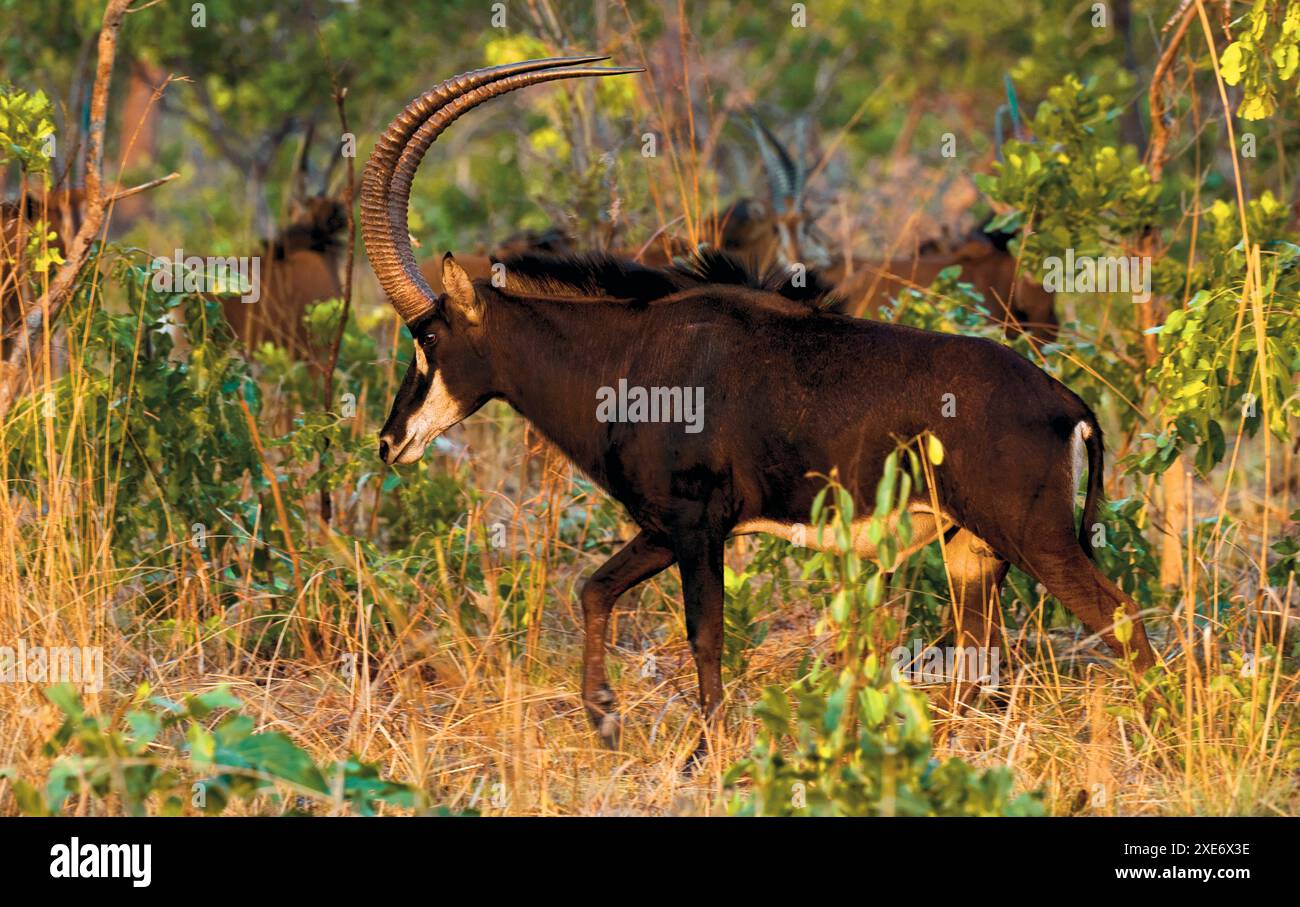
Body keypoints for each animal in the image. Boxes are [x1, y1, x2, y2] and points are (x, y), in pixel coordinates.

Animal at [361, 58, 1157, 762]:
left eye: (426, 338)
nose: (390, 441)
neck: (627, 354)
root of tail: (1064, 399)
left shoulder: (695, 522)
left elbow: (704, 634)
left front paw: (700, 755)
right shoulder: (666, 525)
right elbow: (593, 590)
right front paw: (606, 719)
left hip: (1036, 540)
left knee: (1122, 625)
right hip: (970, 551)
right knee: (979, 663)